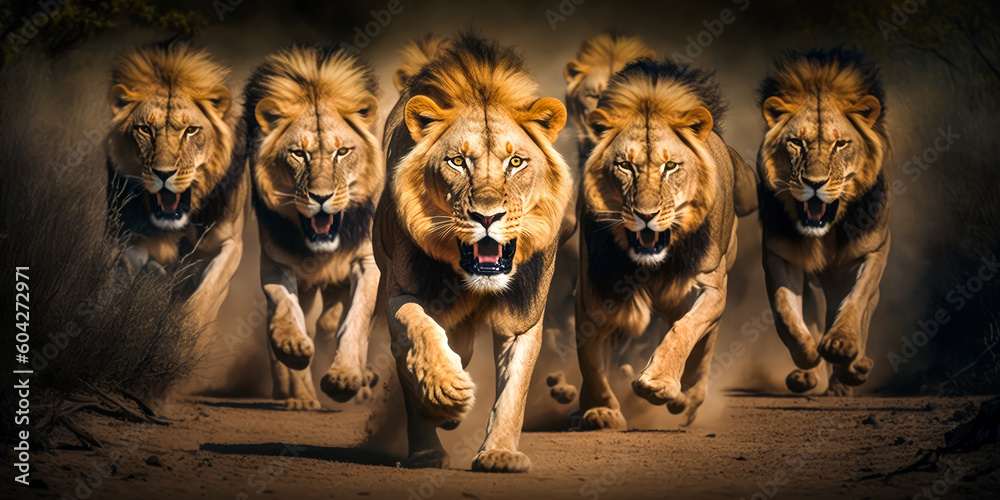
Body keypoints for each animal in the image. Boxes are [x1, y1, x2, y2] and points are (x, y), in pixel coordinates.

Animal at [106, 43, 247, 332]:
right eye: (145, 129)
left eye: (191, 130)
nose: (163, 173)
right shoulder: (129, 239)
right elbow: (125, 274)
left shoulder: (231, 243)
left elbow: (205, 295)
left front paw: (184, 330)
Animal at [244, 45, 383, 410]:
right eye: (298, 154)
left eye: (342, 151)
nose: (321, 197)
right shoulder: (275, 260)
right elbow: (283, 304)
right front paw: (293, 348)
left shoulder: (367, 263)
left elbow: (355, 320)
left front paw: (345, 377)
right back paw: (297, 397)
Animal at [374, 34, 573, 472]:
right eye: (457, 161)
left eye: (515, 162)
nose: (487, 216)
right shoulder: (400, 290)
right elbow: (419, 329)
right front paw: (445, 391)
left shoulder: (522, 316)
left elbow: (513, 391)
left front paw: (499, 453)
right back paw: (430, 443)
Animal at [575, 58, 756, 429]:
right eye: (625, 166)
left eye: (670, 166)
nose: (646, 215)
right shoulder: (592, 296)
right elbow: (590, 361)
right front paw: (602, 410)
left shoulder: (711, 288)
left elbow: (685, 330)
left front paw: (659, 384)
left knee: (704, 346)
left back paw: (688, 398)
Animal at [755, 48, 890, 396]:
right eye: (796, 143)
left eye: (840, 144)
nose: (814, 183)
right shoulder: (780, 256)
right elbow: (786, 313)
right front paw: (807, 355)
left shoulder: (872, 252)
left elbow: (856, 301)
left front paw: (842, 347)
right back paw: (806, 376)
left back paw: (850, 375)